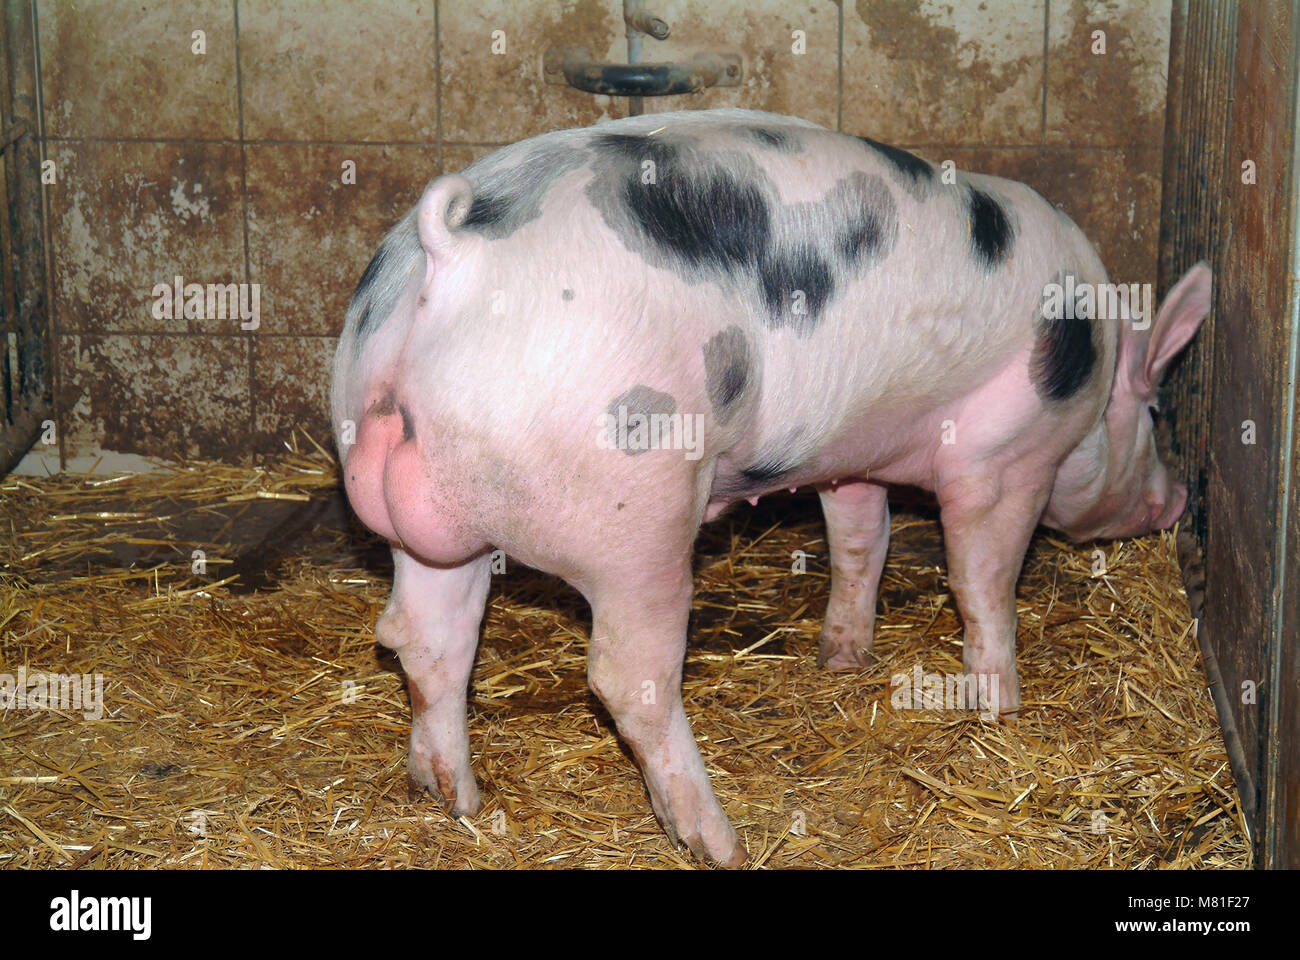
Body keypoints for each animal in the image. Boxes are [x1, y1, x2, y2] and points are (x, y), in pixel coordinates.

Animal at [330, 108, 1211, 867]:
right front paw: (1001, 706)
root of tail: (448, 254)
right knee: (626, 679)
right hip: (637, 518)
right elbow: (983, 581)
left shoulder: (851, 451)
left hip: (430, 513)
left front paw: (843, 660)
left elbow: (861, 540)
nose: (1174, 502)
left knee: (423, 636)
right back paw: (719, 843)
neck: (1091, 375)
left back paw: (455, 801)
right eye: (1154, 410)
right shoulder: (1005, 458)